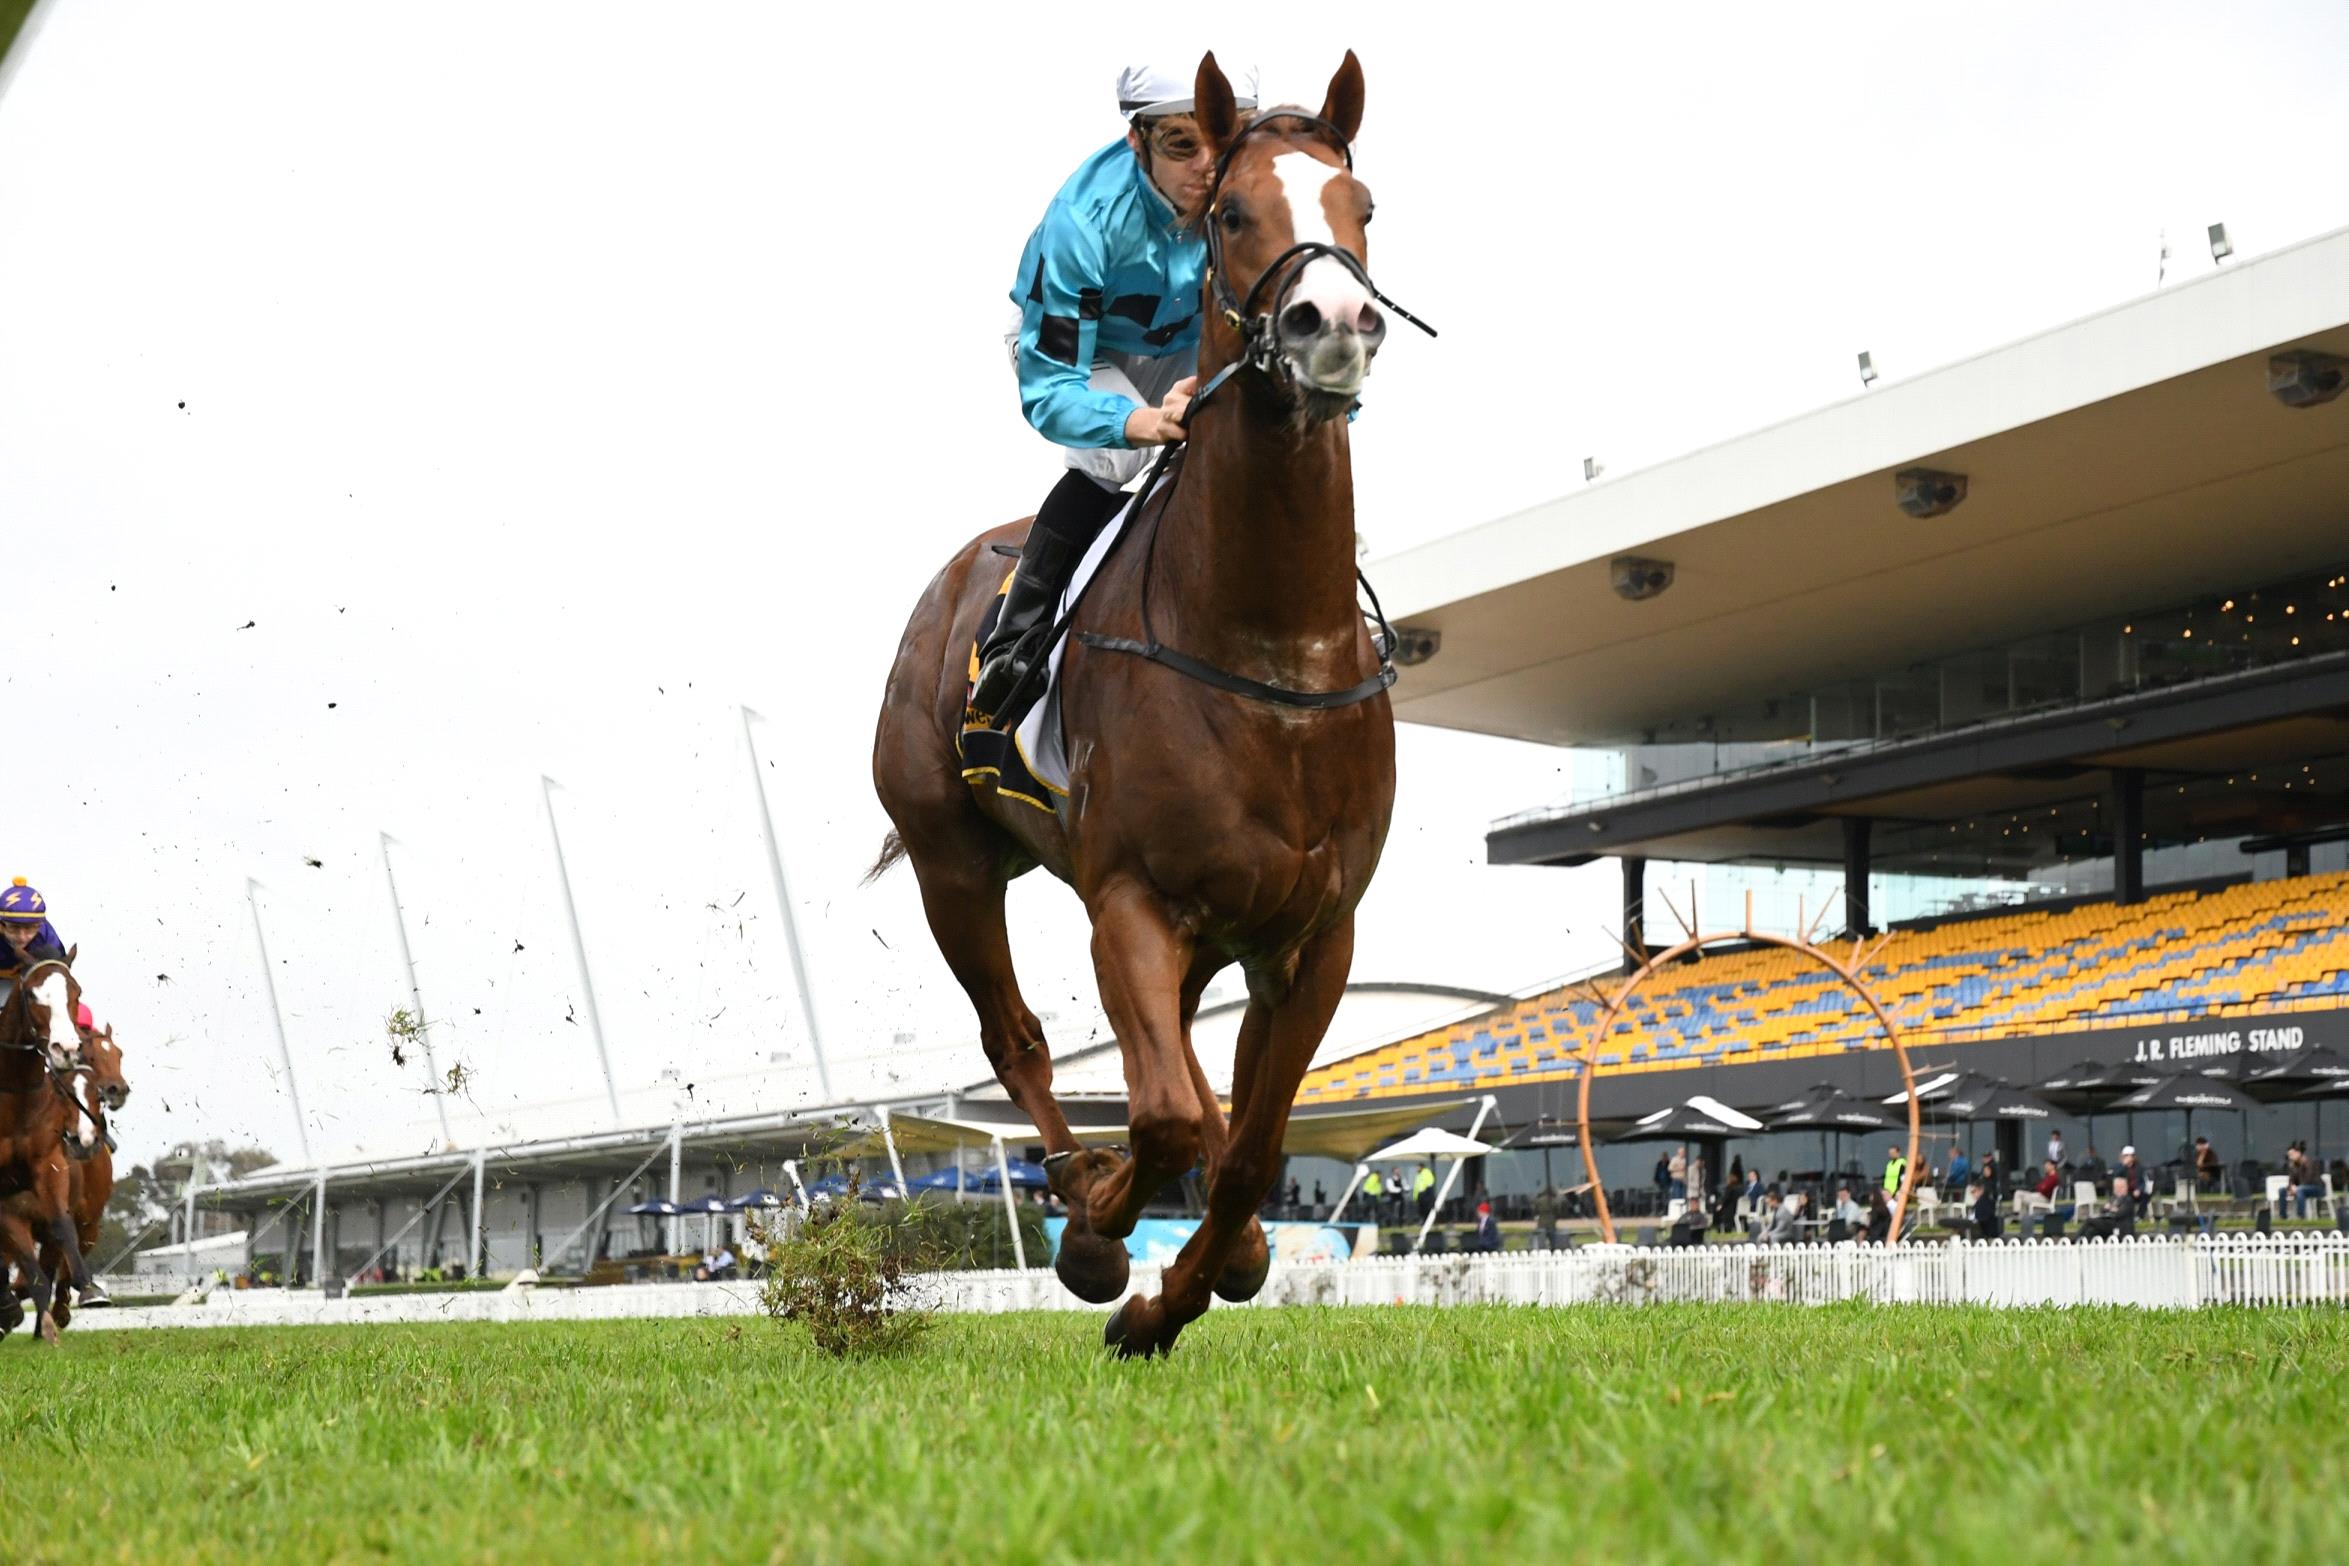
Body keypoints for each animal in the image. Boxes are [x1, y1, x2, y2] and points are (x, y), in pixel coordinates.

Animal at [872, 52, 1402, 1357]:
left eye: (1362, 203)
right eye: (1233, 211)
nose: (1334, 323)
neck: (1271, 655)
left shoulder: (1312, 935)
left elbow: (1251, 1148)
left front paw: (1181, 1293)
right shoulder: (1130, 901)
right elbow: (1159, 1119)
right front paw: (1103, 1247)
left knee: (1201, 1095)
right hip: (952, 864)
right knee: (1018, 1038)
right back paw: (1076, 1183)